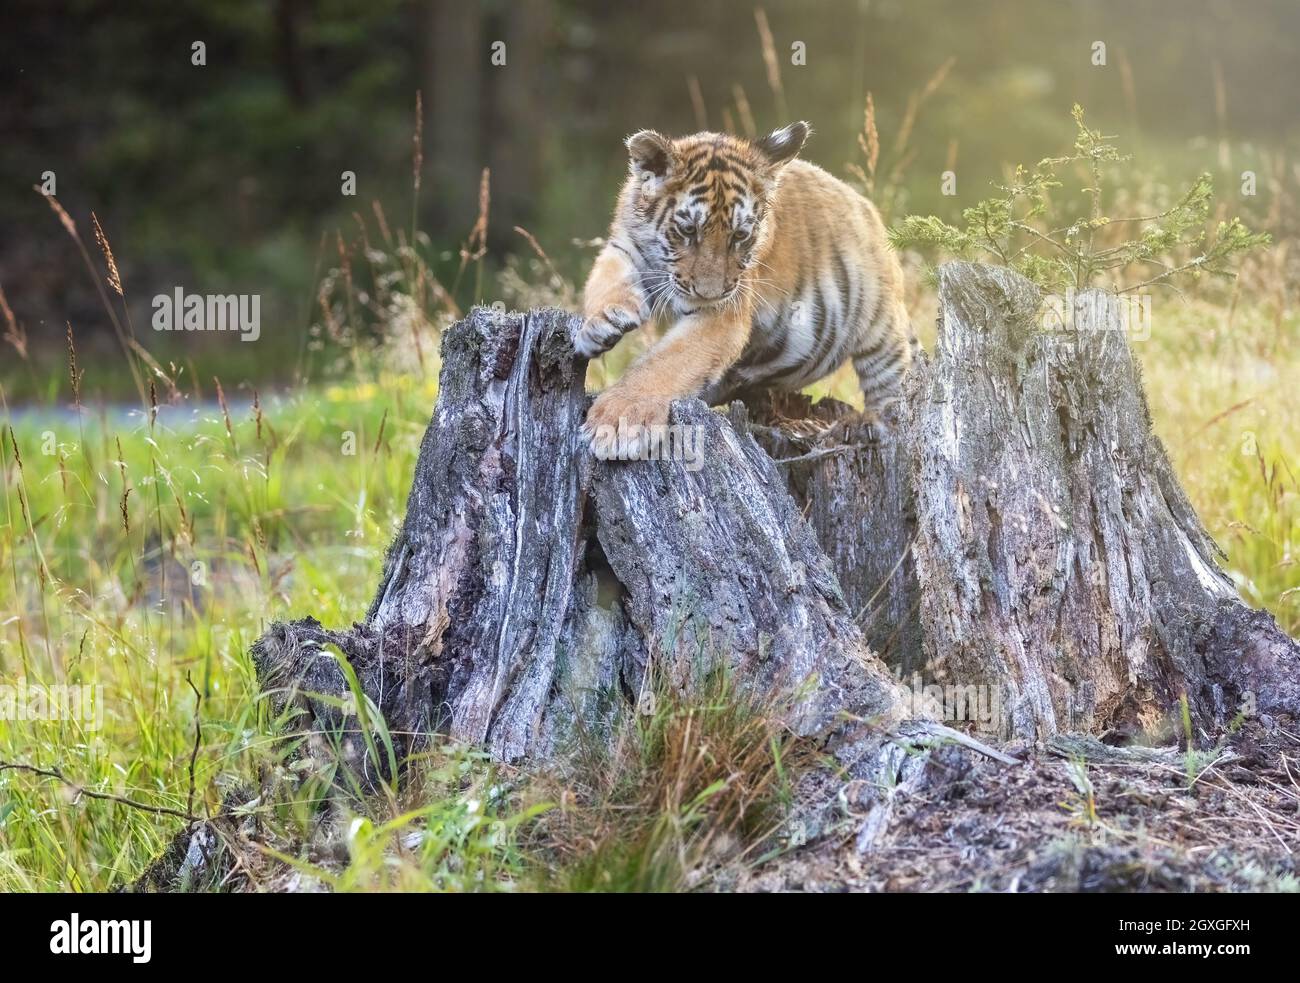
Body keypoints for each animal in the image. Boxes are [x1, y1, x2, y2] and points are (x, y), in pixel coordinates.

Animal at [575, 121, 915, 460]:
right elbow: (604, 280)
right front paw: (602, 324)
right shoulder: (623, 247)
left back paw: (865, 425)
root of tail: (869, 209)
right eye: (688, 230)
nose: (708, 293)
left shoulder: (723, 314)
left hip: (882, 329)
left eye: (739, 235)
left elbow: (666, 363)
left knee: (894, 388)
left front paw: (617, 422)